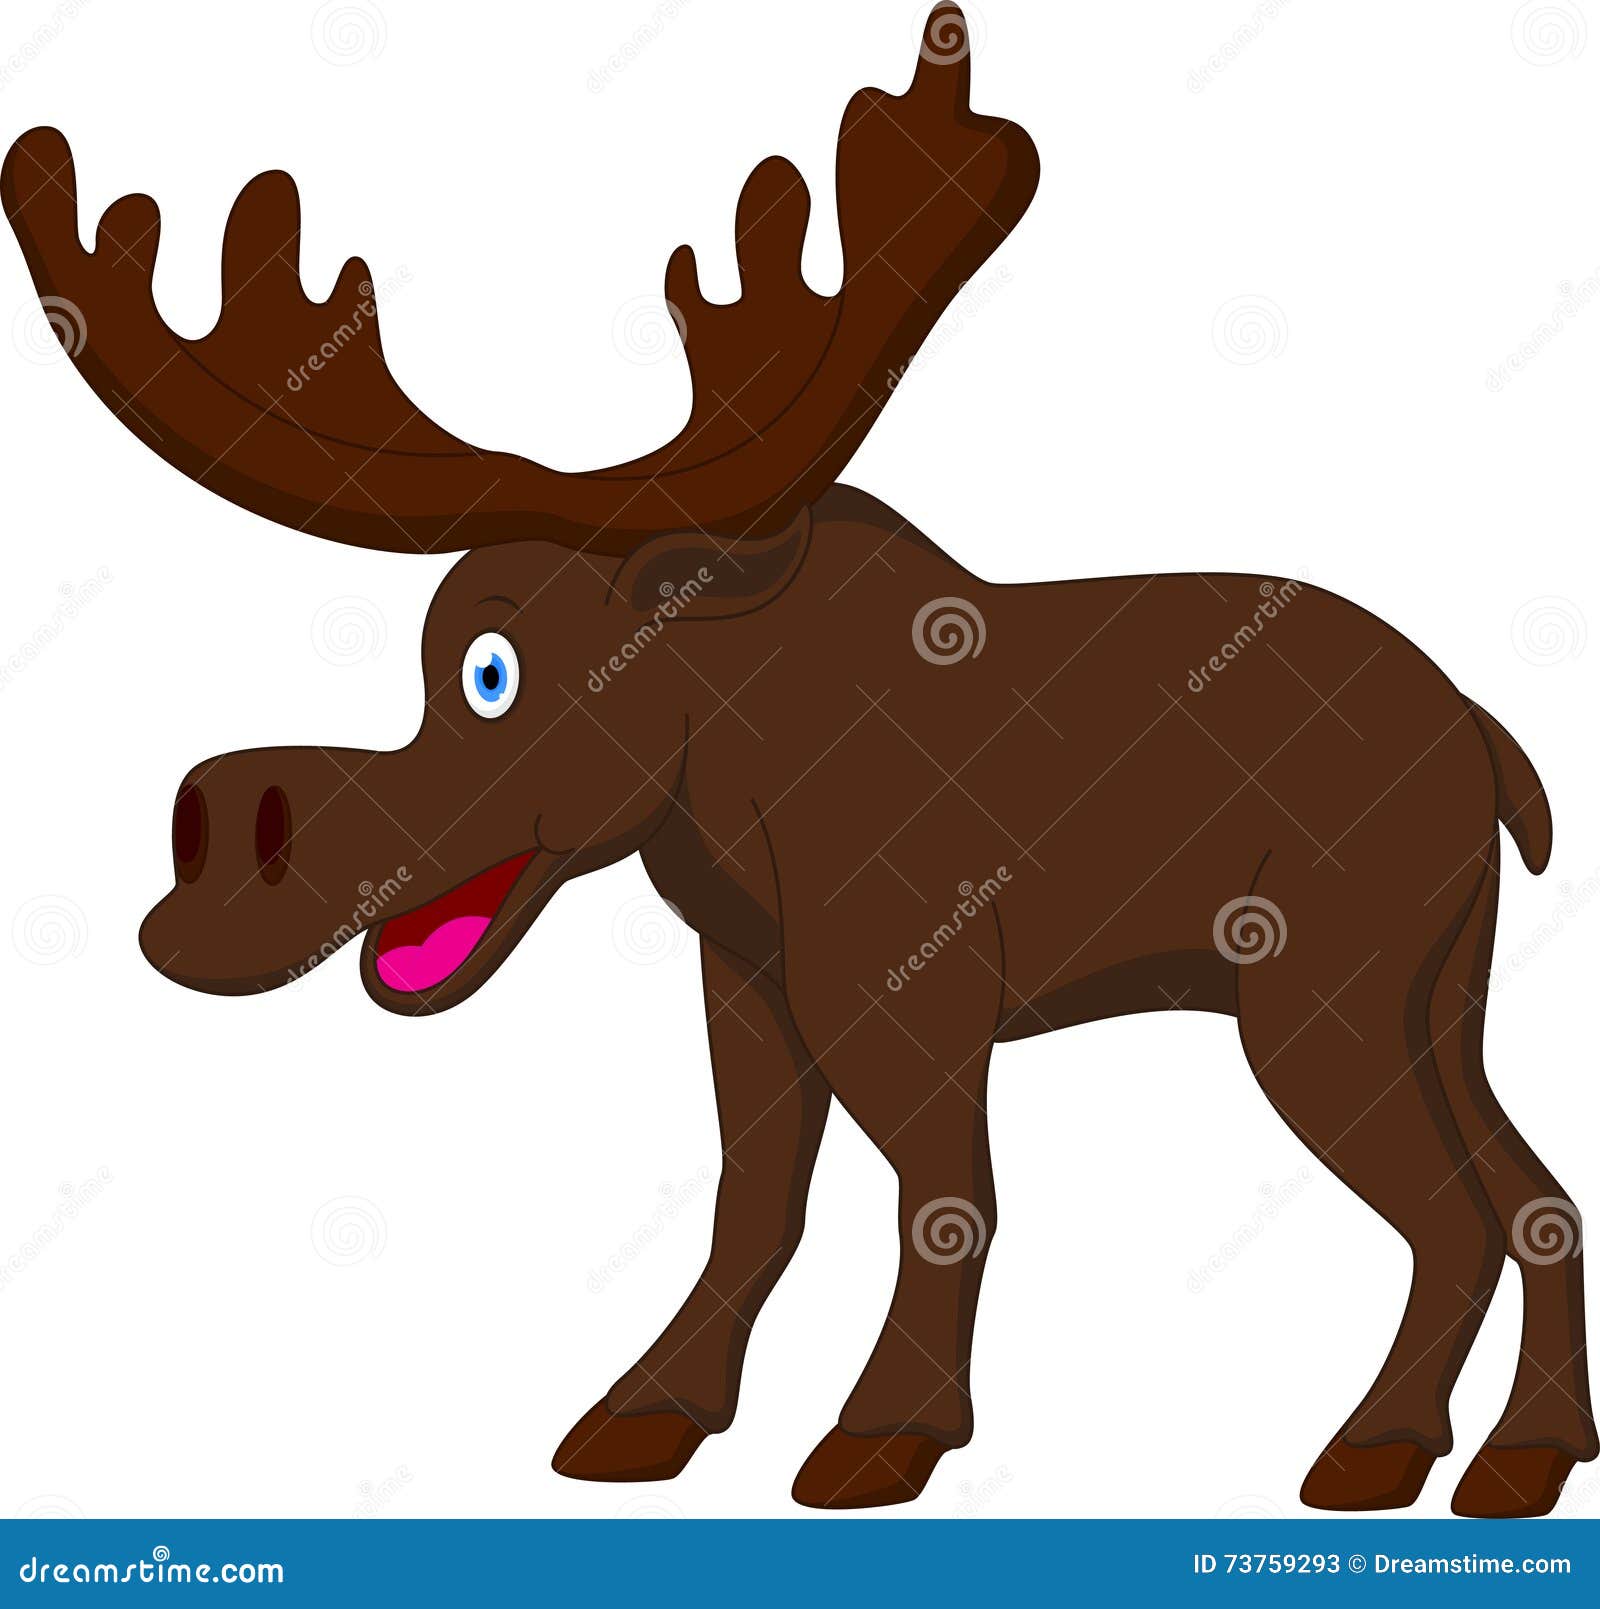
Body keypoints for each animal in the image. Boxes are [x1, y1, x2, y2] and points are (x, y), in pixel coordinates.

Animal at [4, 5, 1592, 1516]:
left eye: (491, 673)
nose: (206, 861)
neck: (729, 786)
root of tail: (1488, 740)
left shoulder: (912, 993)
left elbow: (949, 1199)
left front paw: (885, 1433)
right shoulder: (750, 985)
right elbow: (753, 1204)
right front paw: (647, 1411)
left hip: (1321, 993)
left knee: (1456, 1210)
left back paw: (1382, 1448)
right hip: (1436, 991)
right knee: (1536, 1194)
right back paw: (1520, 1460)